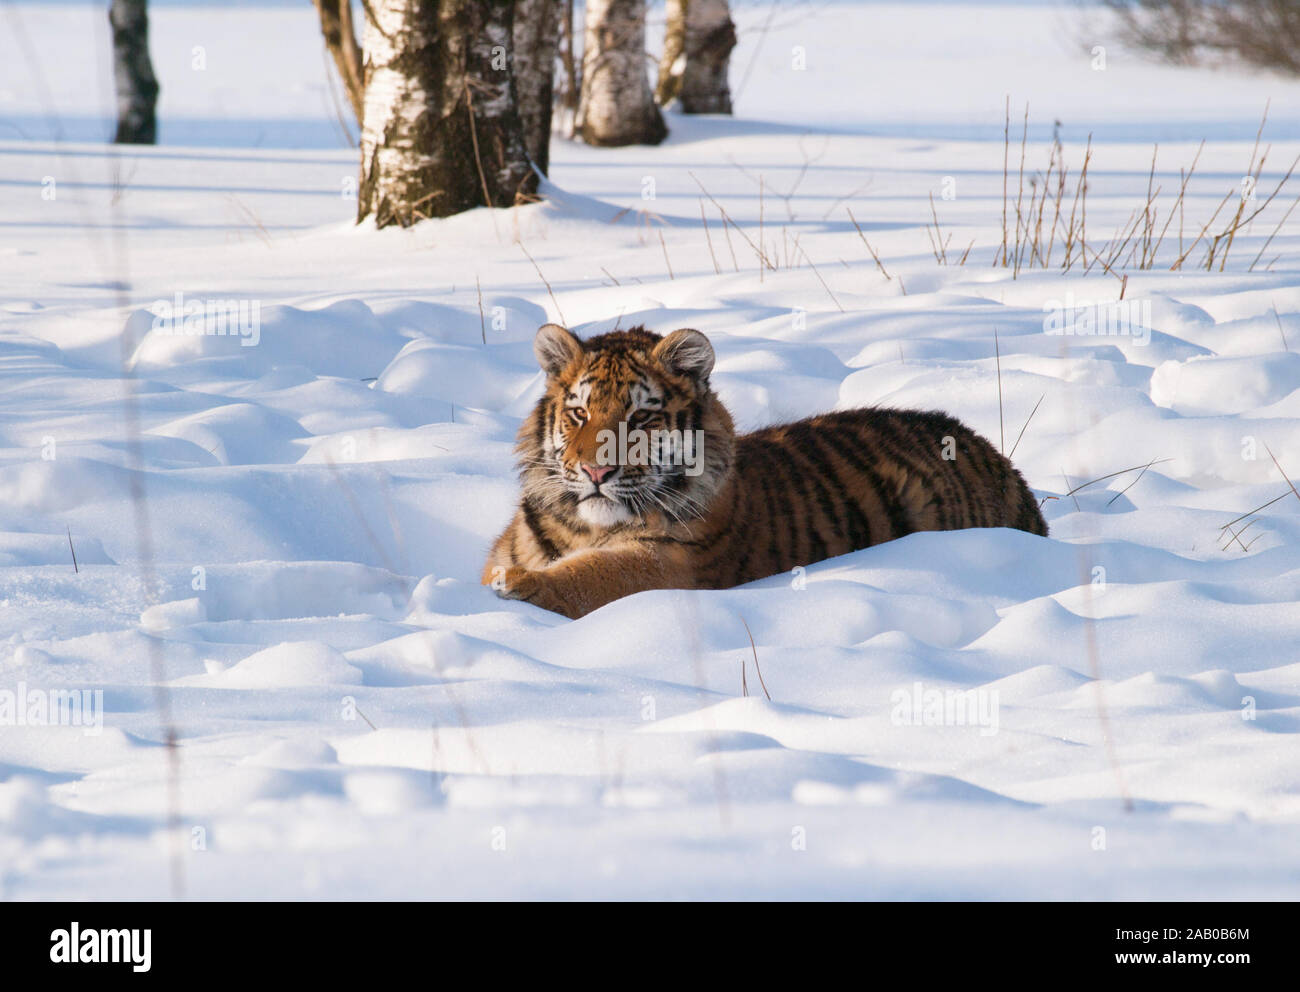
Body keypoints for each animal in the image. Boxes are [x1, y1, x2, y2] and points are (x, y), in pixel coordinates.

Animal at [482, 323, 1047, 619]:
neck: (581, 528)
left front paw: (518, 586)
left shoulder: (672, 562)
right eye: (579, 413)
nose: (595, 472)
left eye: (640, 417)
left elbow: (592, 576)